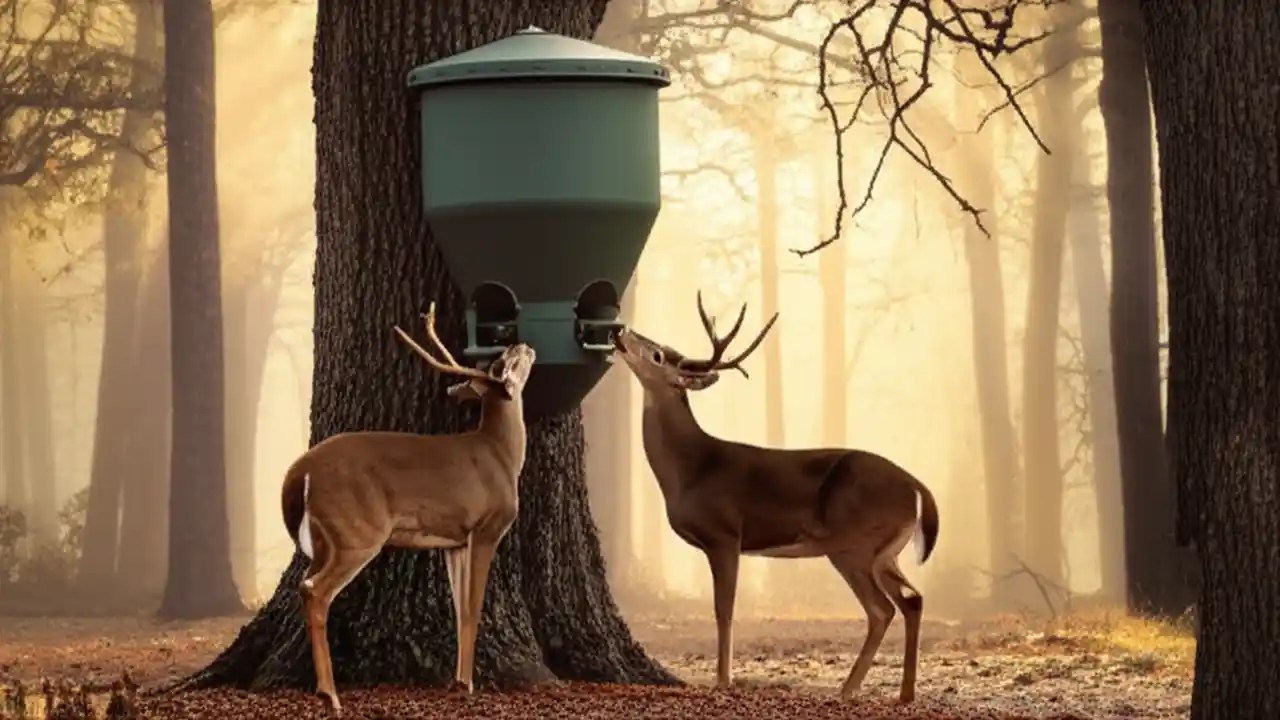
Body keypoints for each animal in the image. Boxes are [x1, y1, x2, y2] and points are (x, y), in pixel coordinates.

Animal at [278, 302, 535, 713]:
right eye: (505, 362)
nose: (524, 344)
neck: (503, 456)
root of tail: (297, 473)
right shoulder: (486, 527)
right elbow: (474, 607)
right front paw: (469, 684)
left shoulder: (454, 540)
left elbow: (460, 609)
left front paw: (458, 681)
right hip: (356, 531)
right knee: (315, 591)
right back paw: (330, 694)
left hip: (325, 538)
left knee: (306, 585)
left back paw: (324, 689)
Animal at [611, 292, 940, 703]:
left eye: (657, 355)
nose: (620, 331)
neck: (691, 470)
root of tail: (918, 486)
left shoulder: (725, 535)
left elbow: (724, 610)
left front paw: (723, 680)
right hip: (884, 551)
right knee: (912, 601)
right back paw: (902, 692)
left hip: (856, 545)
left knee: (882, 609)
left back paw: (849, 688)